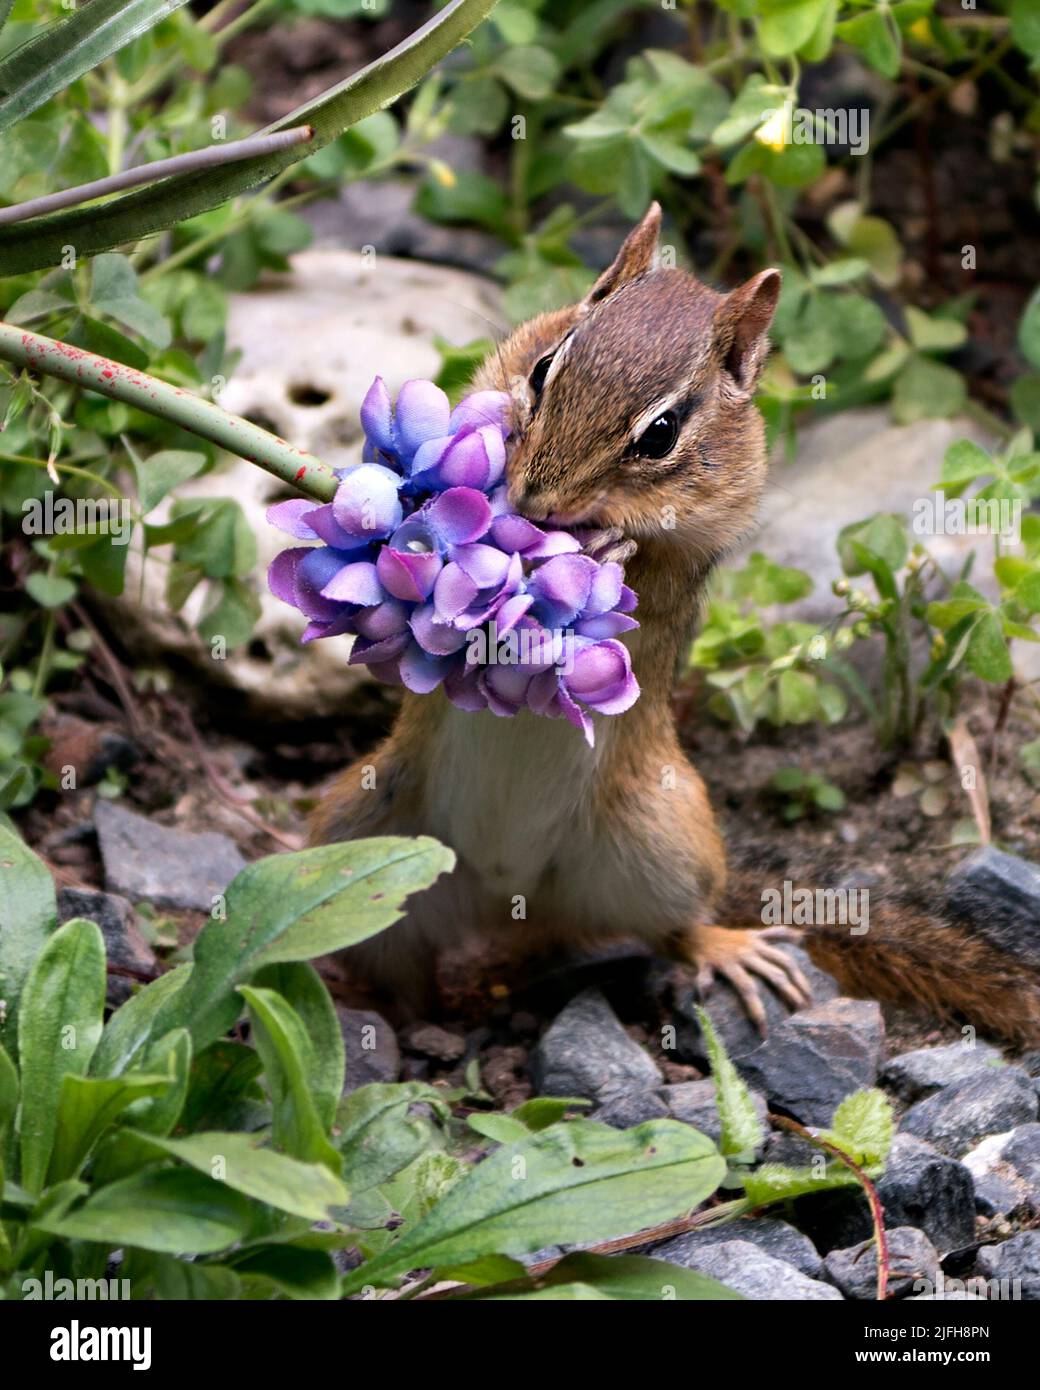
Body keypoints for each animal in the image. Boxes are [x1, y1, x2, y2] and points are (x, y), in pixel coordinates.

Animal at [311, 203, 1040, 1046]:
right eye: (543, 369)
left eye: (660, 435)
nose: (533, 503)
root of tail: (508, 898)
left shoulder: (706, 540)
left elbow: (655, 575)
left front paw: (615, 546)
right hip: (357, 828)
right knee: (390, 960)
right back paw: (375, 1009)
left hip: (666, 841)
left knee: (675, 928)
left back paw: (729, 950)